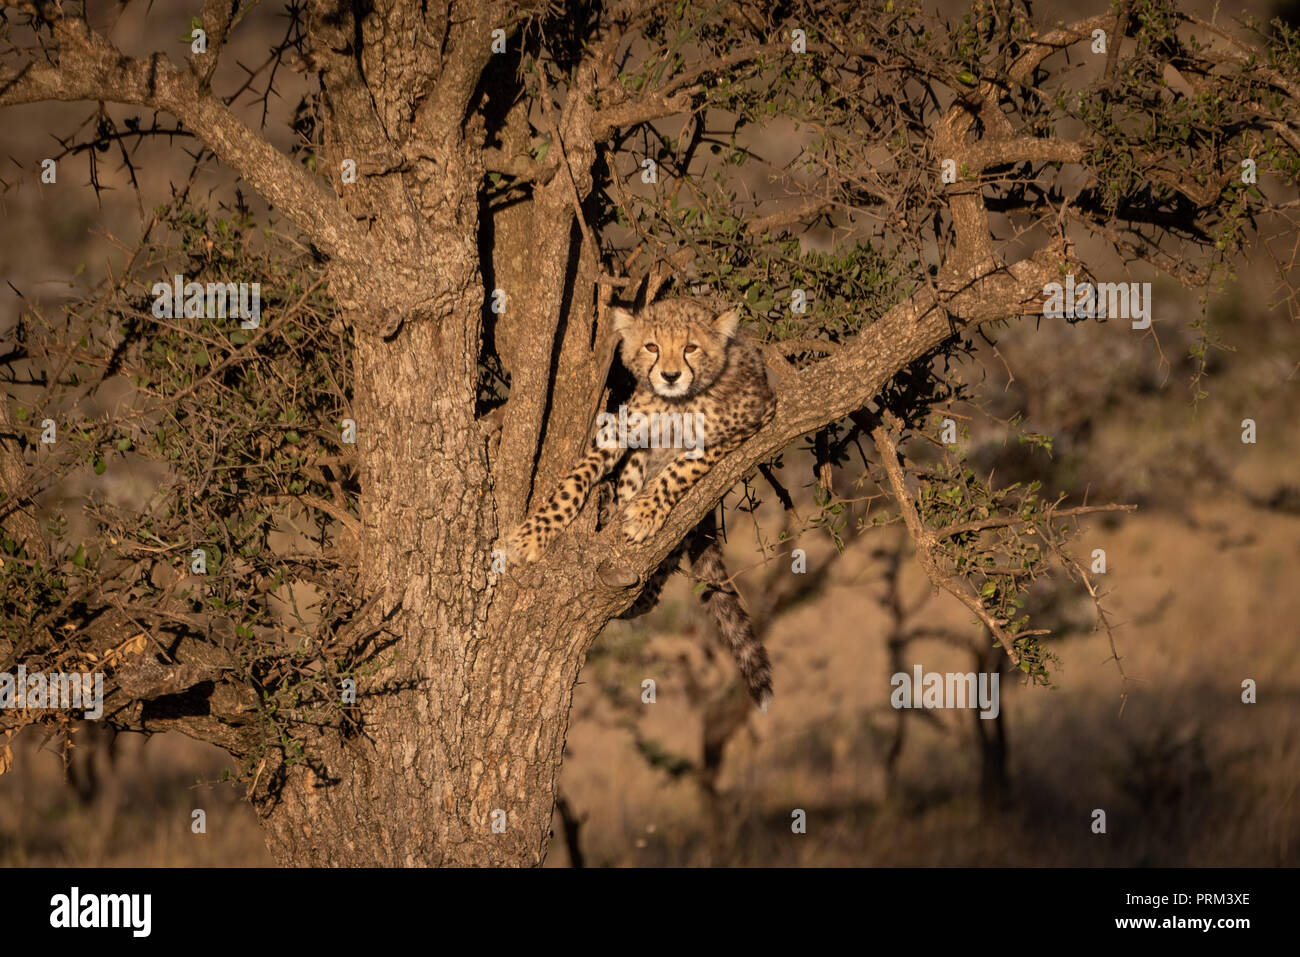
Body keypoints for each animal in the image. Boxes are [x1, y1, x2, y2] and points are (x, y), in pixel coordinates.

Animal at [502, 297, 777, 709]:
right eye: (652, 346)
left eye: (691, 347)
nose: (670, 376)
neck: (677, 403)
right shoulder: (623, 430)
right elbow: (577, 479)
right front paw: (534, 534)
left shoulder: (754, 418)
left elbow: (683, 467)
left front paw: (646, 513)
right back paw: (610, 509)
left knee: (663, 570)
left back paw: (638, 590)